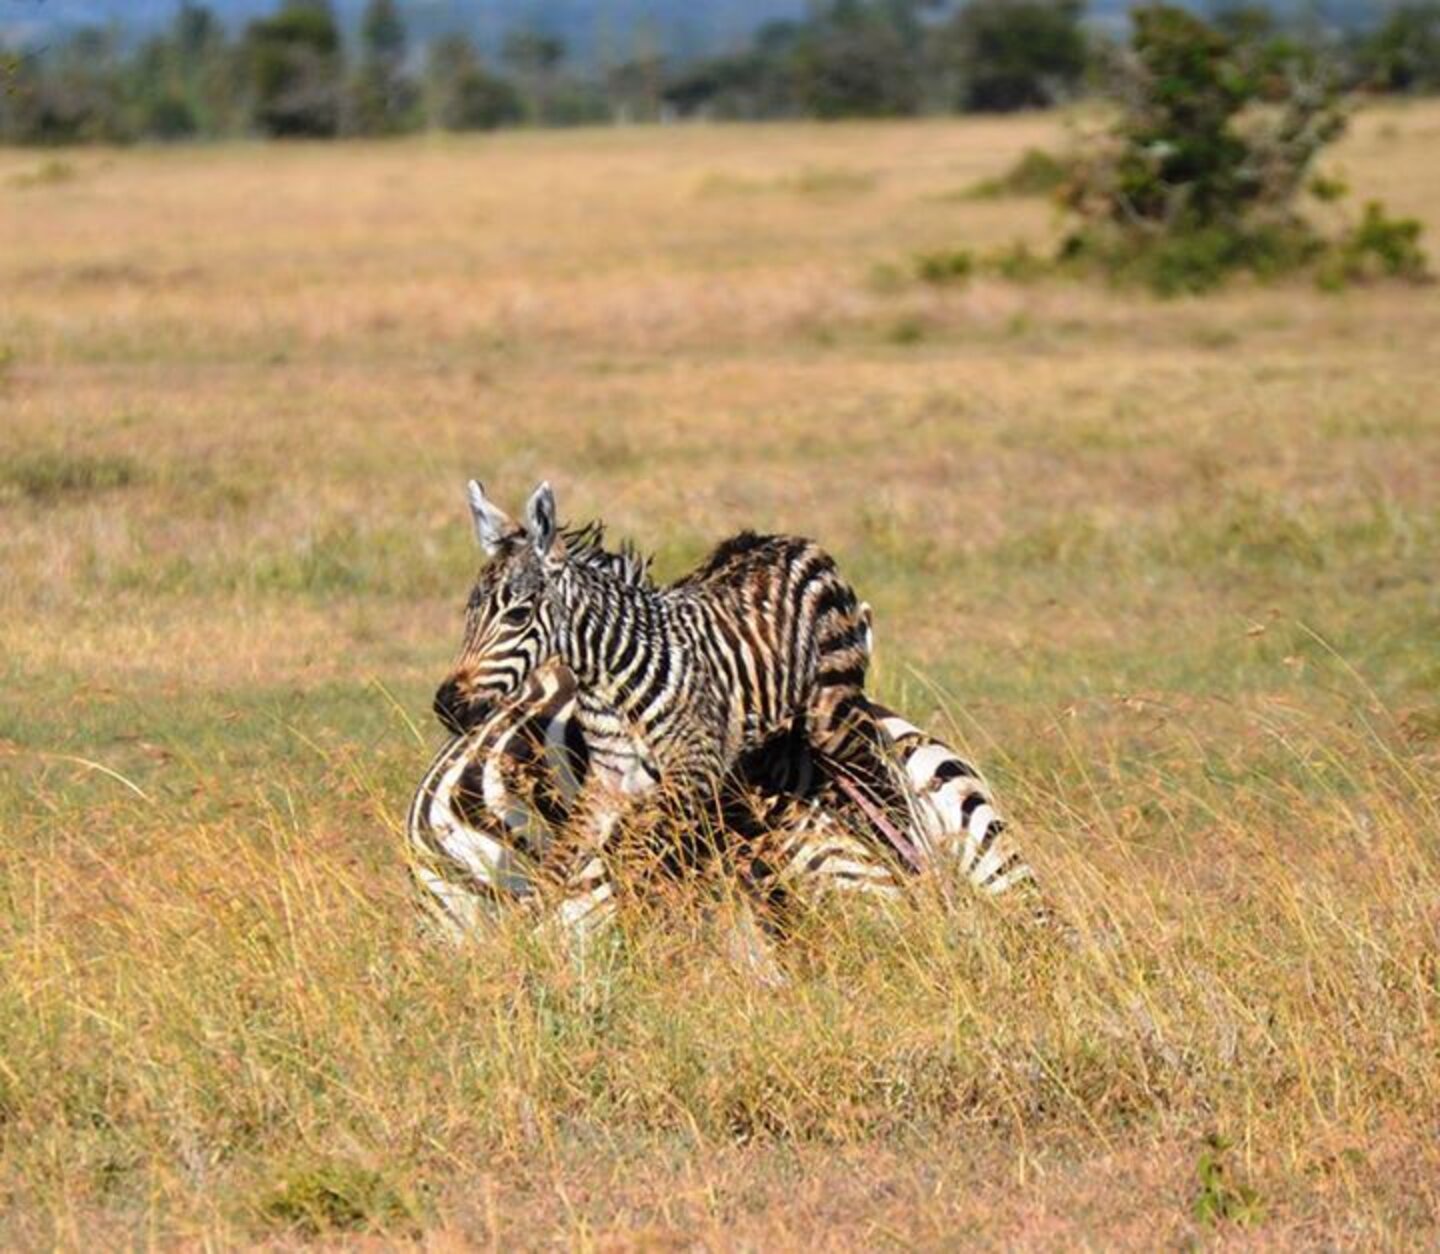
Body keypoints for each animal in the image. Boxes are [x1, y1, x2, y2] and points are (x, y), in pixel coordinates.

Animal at [432, 480, 913, 913]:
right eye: (468, 612)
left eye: (517, 615)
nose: (447, 707)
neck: (609, 675)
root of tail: (781, 539)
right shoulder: (610, 778)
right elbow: (562, 866)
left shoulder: (692, 772)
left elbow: (637, 862)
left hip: (832, 715)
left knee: (880, 777)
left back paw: (915, 870)